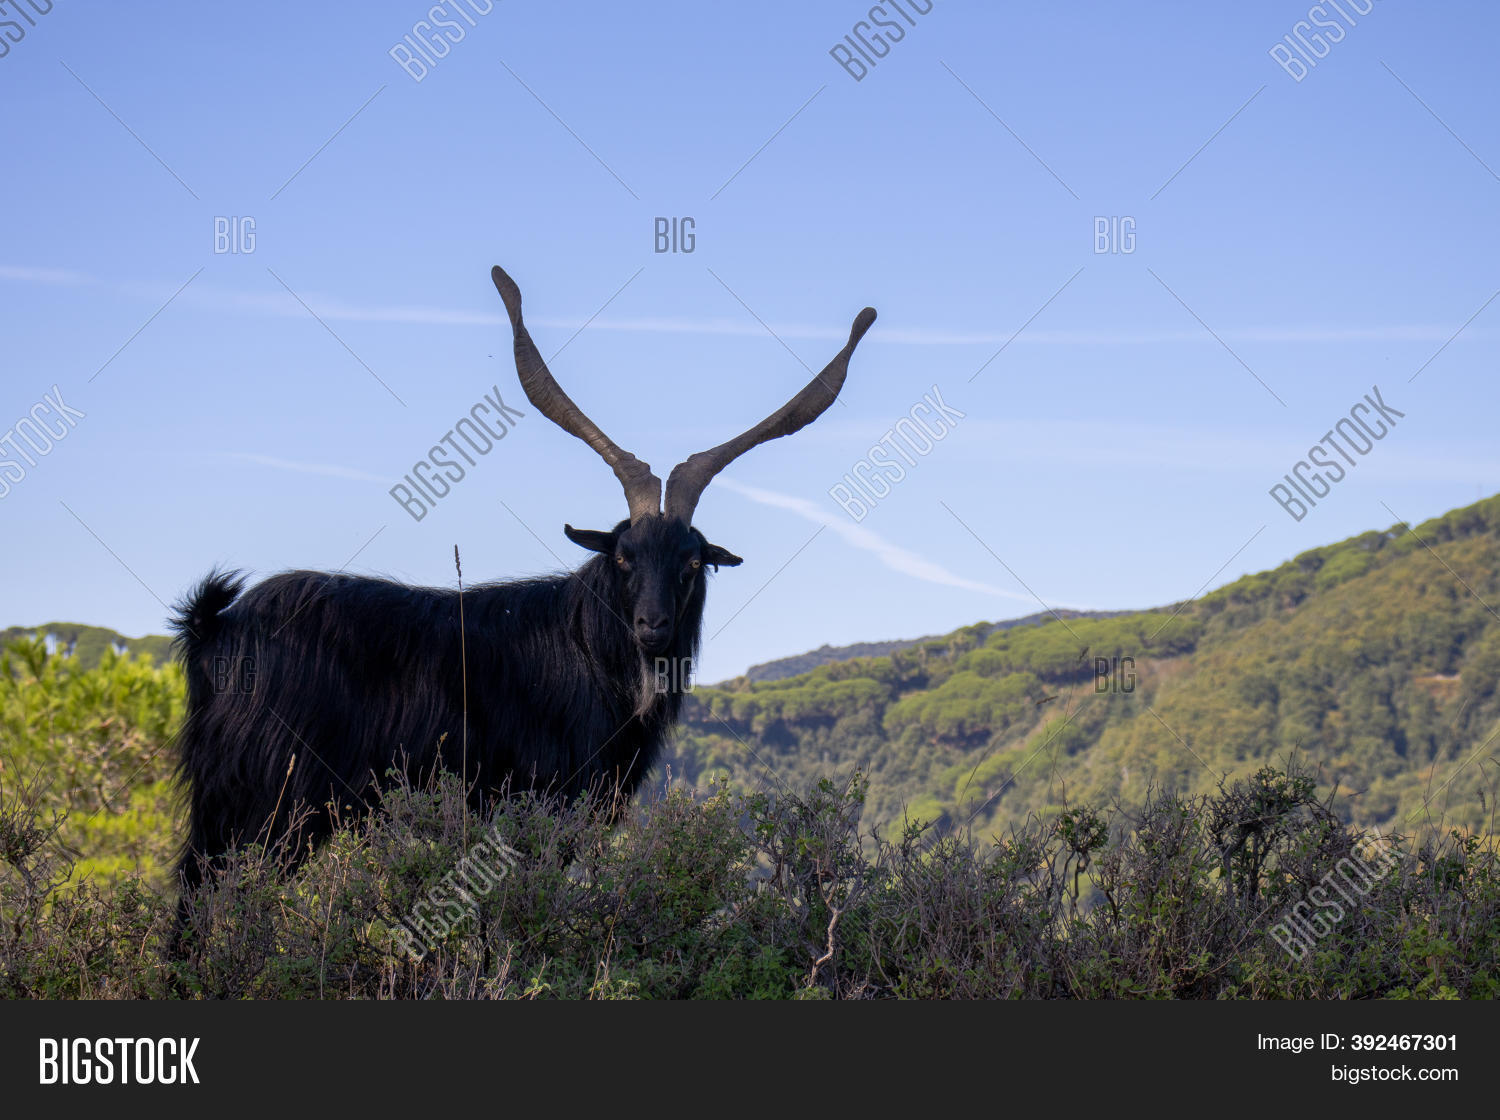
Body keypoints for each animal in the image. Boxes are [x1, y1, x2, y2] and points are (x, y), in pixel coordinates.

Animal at [169, 264, 876, 908]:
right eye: (624, 556)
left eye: (693, 562)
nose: (653, 627)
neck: (586, 649)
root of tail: (216, 625)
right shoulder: (534, 806)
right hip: (264, 802)